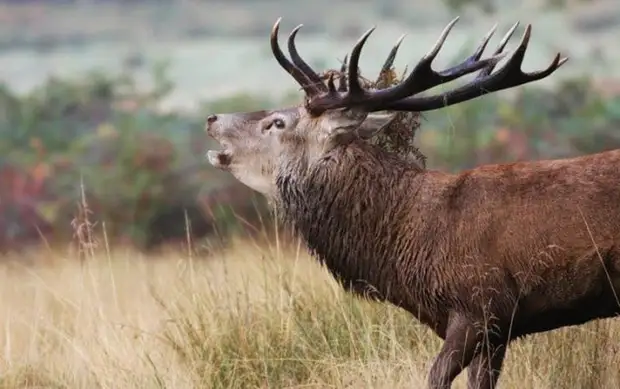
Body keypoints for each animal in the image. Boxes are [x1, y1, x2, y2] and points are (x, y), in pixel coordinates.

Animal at [203, 15, 620, 388]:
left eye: (277, 122)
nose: (212, 118)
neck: (410, 245)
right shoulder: (498, 330)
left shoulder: (480, 306)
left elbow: (435, 378)